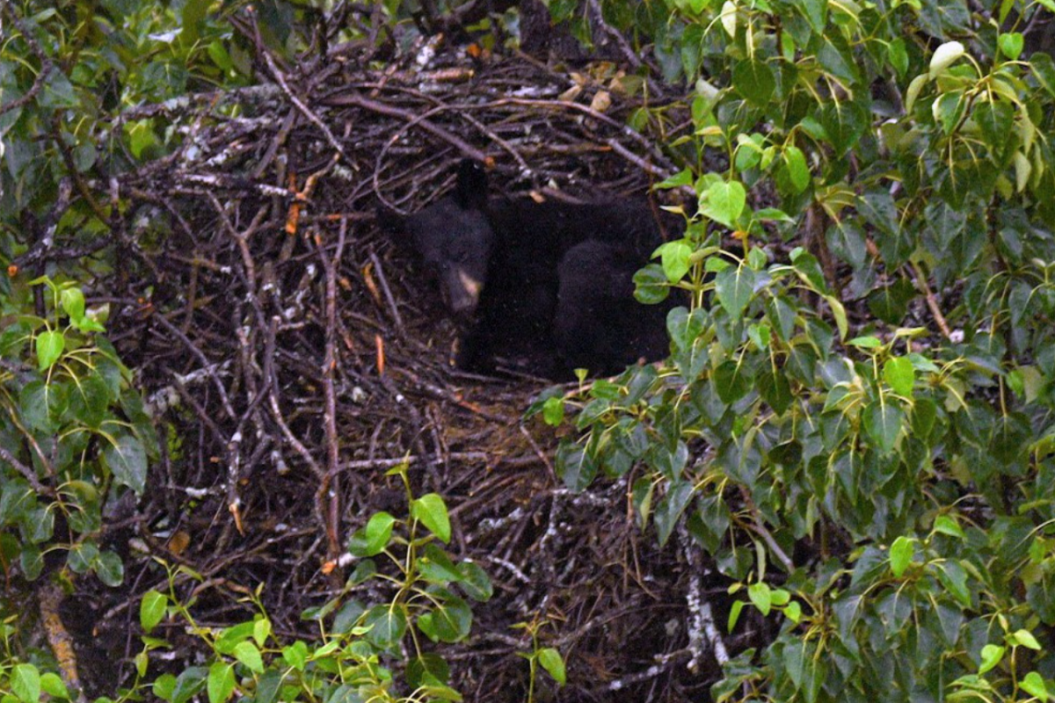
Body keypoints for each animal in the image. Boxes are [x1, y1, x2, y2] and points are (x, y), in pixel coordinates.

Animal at [383, 159, 680, 380]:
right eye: (431, 267)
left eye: (464, 252)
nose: (460, 304)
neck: (500, 242)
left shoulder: (530, 263)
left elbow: (531, 306)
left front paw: (471, 346)